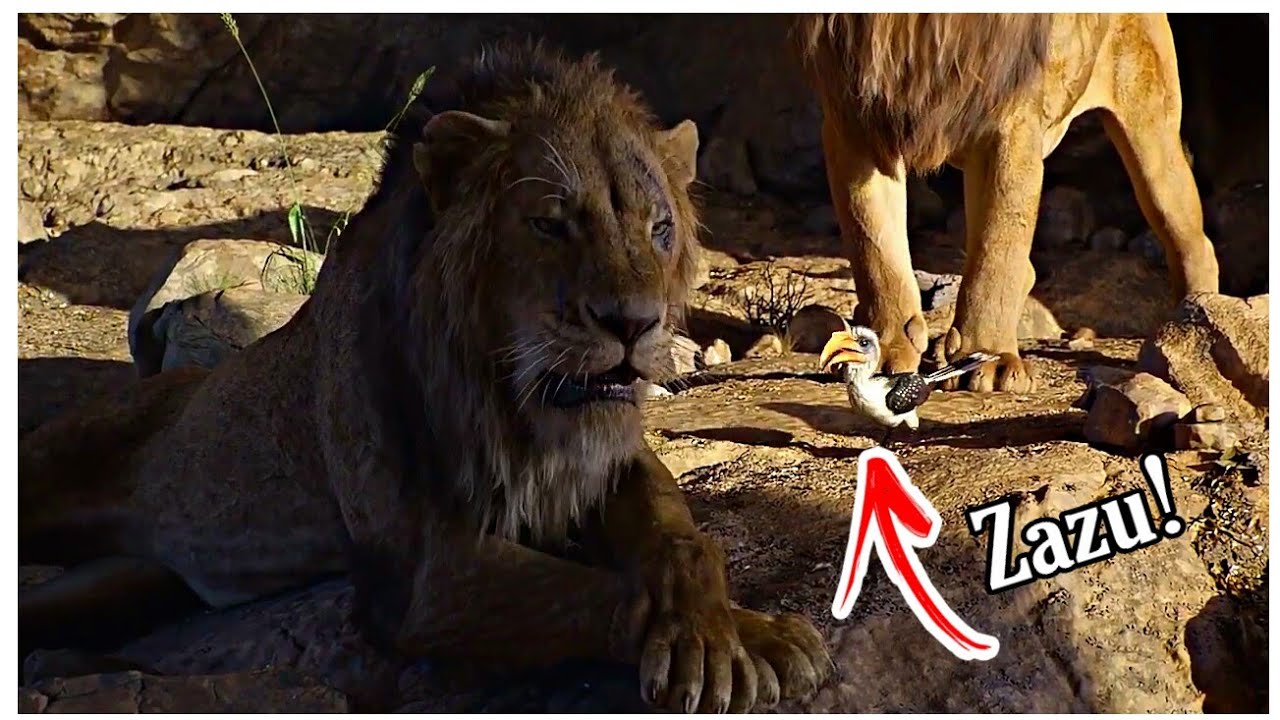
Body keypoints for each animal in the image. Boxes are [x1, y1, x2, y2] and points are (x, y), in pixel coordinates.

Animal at [19, 43, 830, 711]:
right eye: (550, 223)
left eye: (660, 230)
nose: (631, 325)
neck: (518, 396)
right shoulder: (417, 571)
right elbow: (600, 590)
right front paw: (721, 645)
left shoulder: (609, 456)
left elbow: (681, 543)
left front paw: (742, 629)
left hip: (118, 582)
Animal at [795, 14, 1220, 391]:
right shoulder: (854, 115)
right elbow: (874, 248)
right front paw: (876, 350)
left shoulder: (1011, 118)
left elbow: (998, 249)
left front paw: (989, 359)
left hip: (1151, 131)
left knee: (1191, 239)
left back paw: (1194, 323)